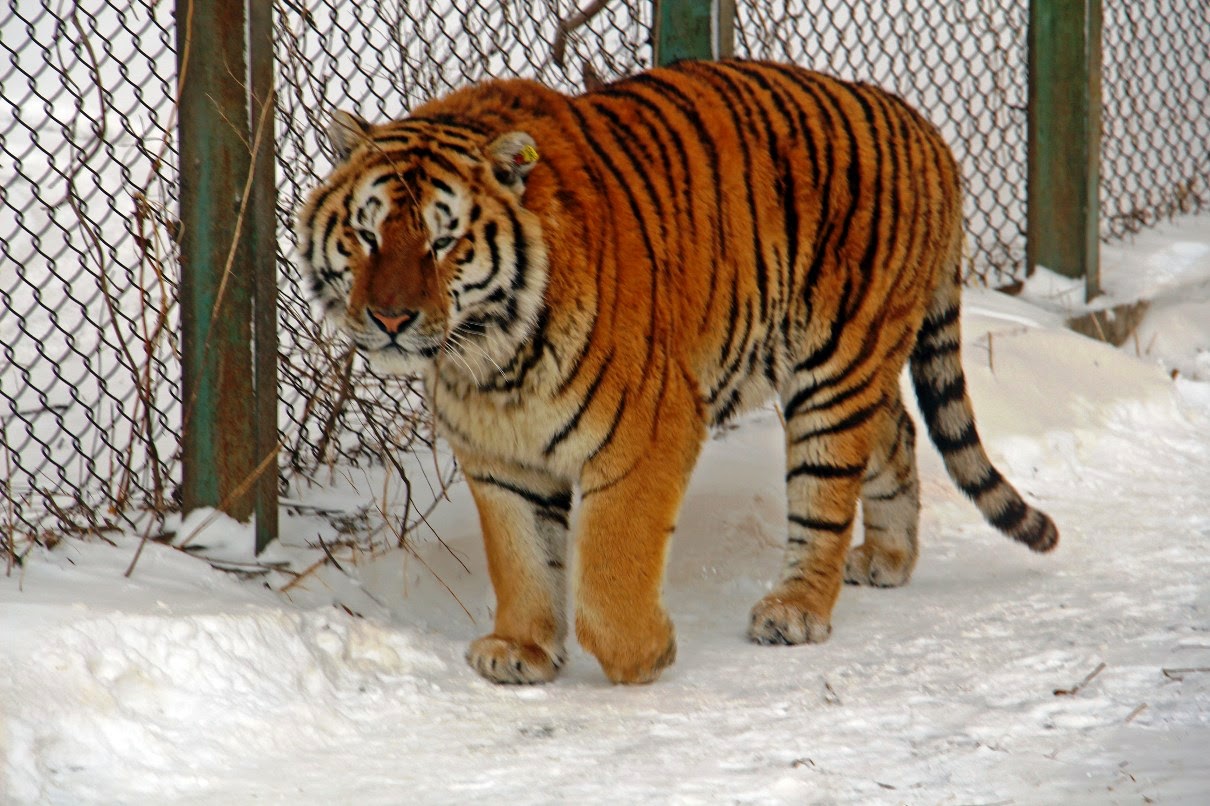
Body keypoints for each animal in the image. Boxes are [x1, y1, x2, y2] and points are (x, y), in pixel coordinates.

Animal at [295, 58, 1058, 686]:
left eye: (443, 240)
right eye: (366, 234)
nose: (390, 317)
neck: (486, 360)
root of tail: (925, 128)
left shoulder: (647, 431)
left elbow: (609, 568)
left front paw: (645, 654)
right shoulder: (498, 460)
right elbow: (522, 558)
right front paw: (521, 650)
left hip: (835, 368)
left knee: (826, 494)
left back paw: (795, 608)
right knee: (896, 430)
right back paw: (889, 559)